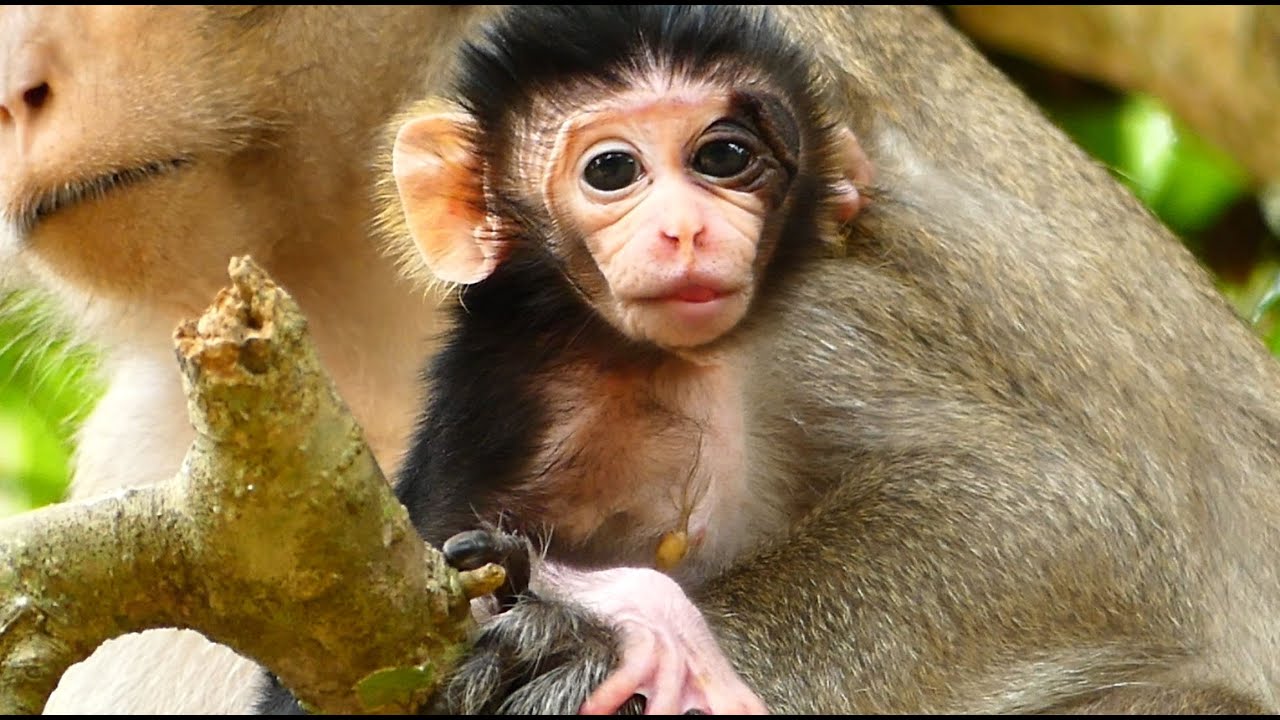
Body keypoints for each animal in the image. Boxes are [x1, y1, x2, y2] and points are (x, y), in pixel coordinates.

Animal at [266, 4, 1280, 714]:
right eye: (610, 170)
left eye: (725, 155)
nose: (685, 231)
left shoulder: (815, 314)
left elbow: (1061, 516)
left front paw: (616, 646)